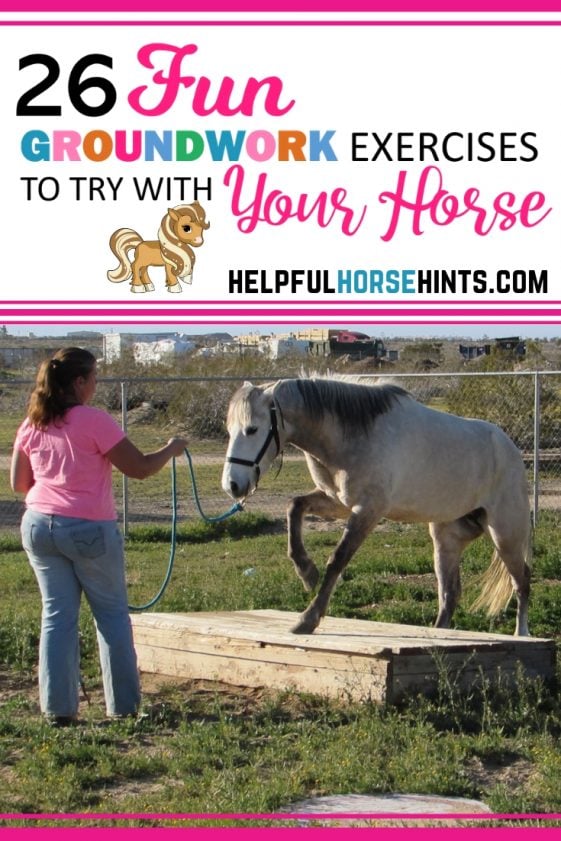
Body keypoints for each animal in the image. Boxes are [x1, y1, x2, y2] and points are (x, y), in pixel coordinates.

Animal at [221, 376, 532, 637]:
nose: (232, 485)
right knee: (450, 594)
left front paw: (307, 619)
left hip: (504, 535)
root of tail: (512, 450)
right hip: (447, 538)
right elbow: (294, 507)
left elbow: (338, 559)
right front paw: (306, 572)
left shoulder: (368, 510)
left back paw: (522, 635)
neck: (353, 433)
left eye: (252, 429)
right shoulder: (337, 502)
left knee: (522, 580)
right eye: (229, 430)